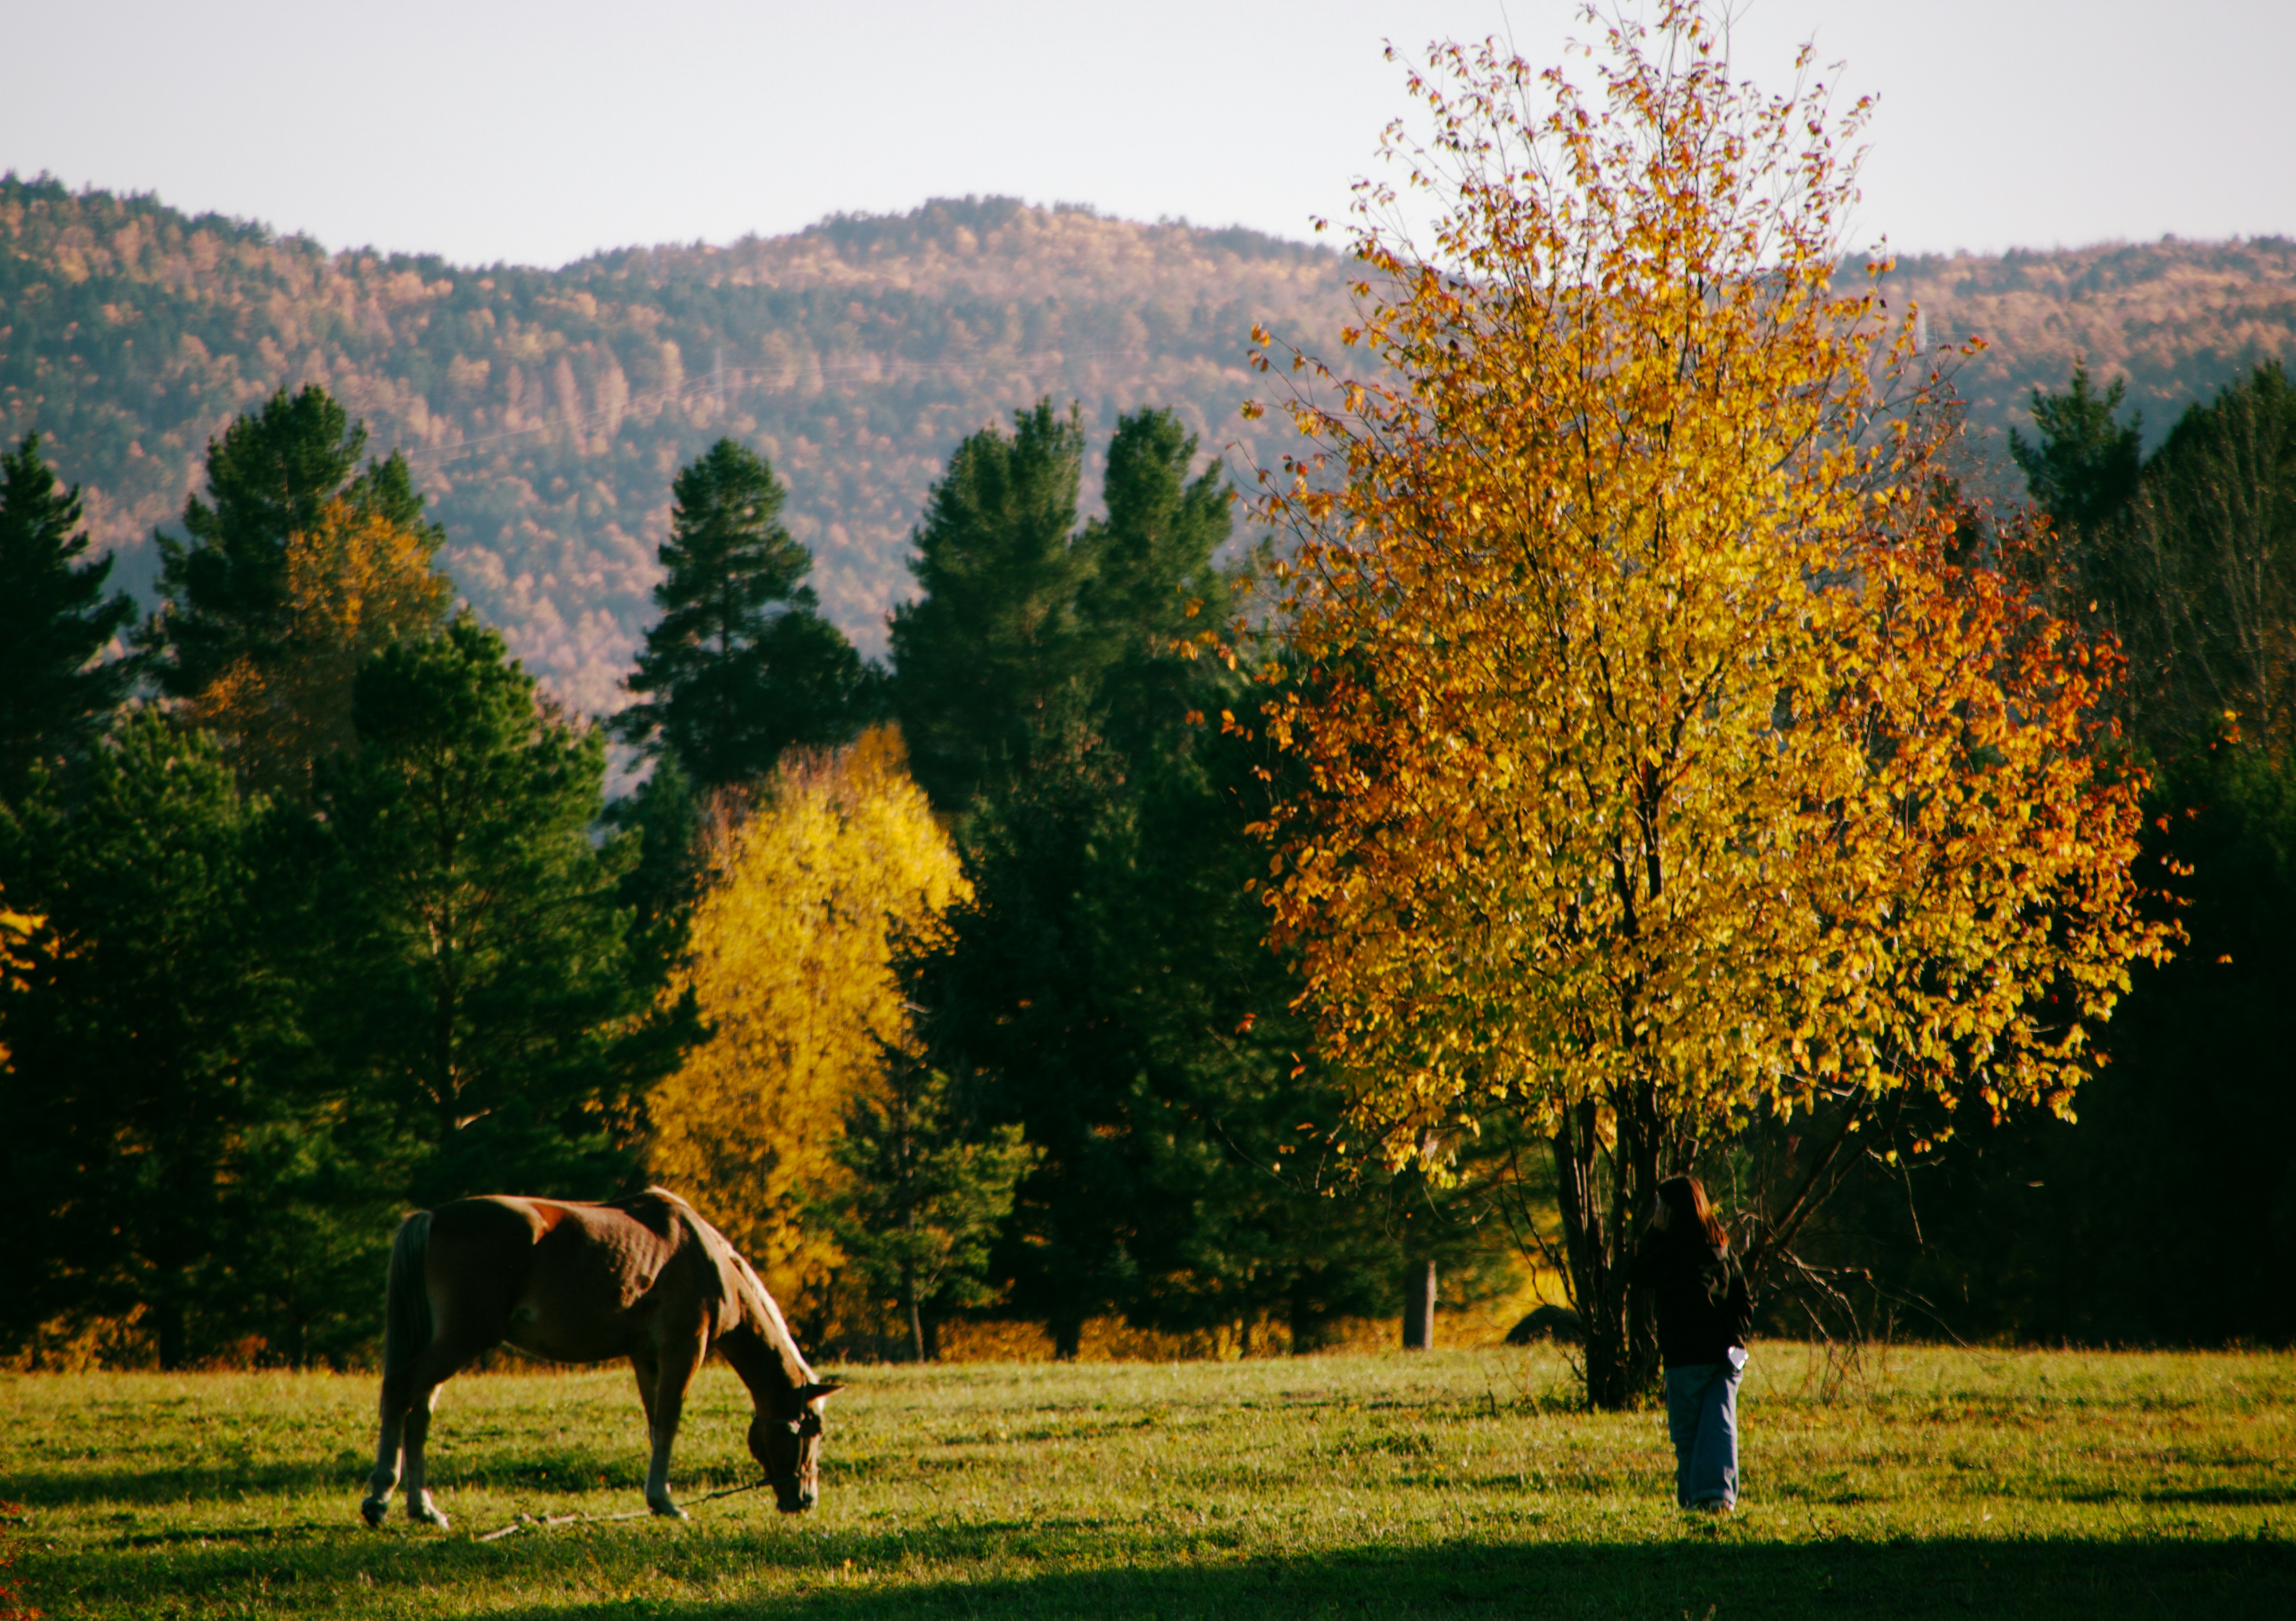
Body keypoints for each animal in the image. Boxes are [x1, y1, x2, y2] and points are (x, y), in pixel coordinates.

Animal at [359, 1187, 842, 1529]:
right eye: (813, 1429)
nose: (806, 1499)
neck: (706, 1257)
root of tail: (433, 1217)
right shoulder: (683, 1348)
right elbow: (669, 1420)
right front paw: (666, 1502)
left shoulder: (646, 1356)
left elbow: (655, 1425)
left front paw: (657, 1497)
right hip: (461, 1339)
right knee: (400, 1390)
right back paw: (380, 1497)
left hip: (448, 1342)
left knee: (419, 1412)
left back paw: (424, 1509)